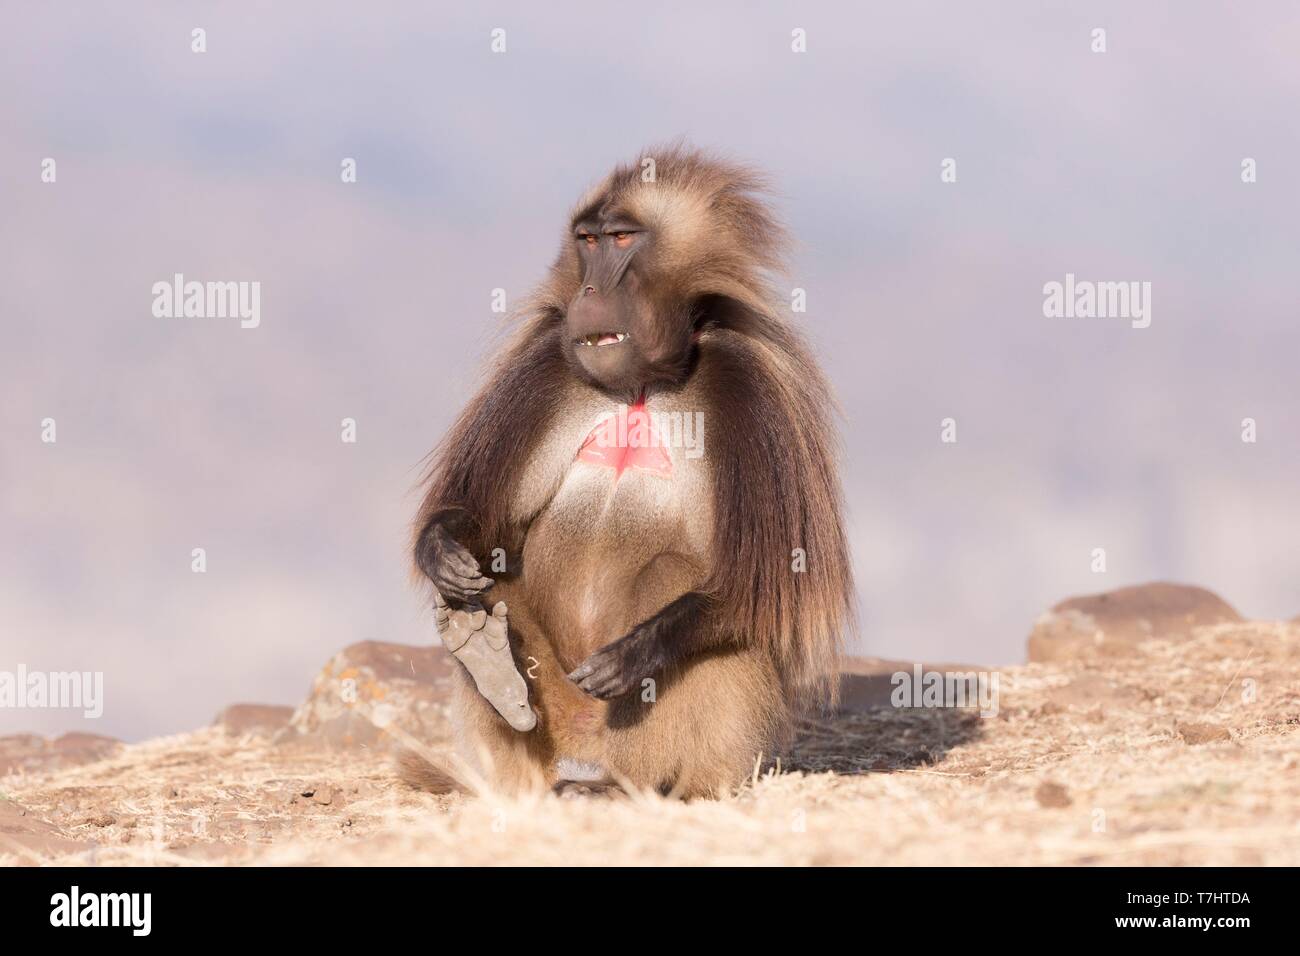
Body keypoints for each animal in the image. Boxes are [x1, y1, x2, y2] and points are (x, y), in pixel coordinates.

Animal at [409, 145, 853, 798]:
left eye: (621, 238)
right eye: (587, 240)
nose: (590, 287)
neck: (642, 386)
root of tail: (584, 749)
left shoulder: (749, 390)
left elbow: (763, 585)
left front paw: (640, 653)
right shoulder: (545, 368)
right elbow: (489, 525)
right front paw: (441, 550)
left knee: (680, 583)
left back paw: (622, 785)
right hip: (552, 713)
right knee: (496, 578)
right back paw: (485, 657)